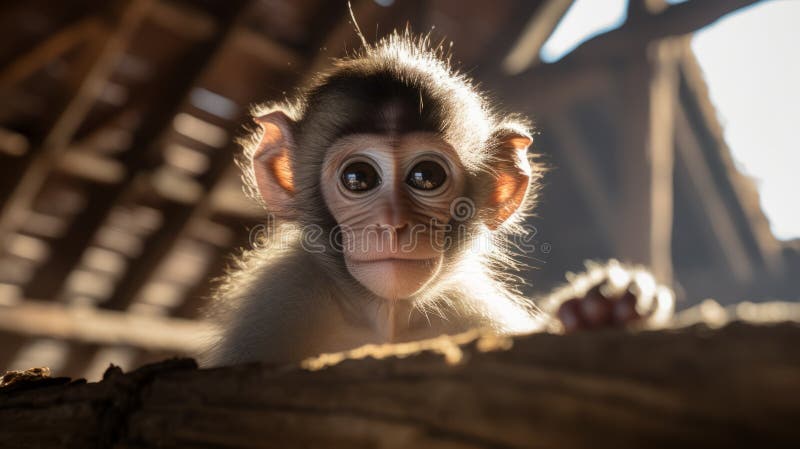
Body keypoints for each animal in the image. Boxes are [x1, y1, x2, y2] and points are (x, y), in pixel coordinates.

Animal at [201, 32, 673, 367]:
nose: (394, 223)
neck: (386, 317)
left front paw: (603, 310)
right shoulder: (279, 302)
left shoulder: (473, 315)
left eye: (426, 177)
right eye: (358, 178)